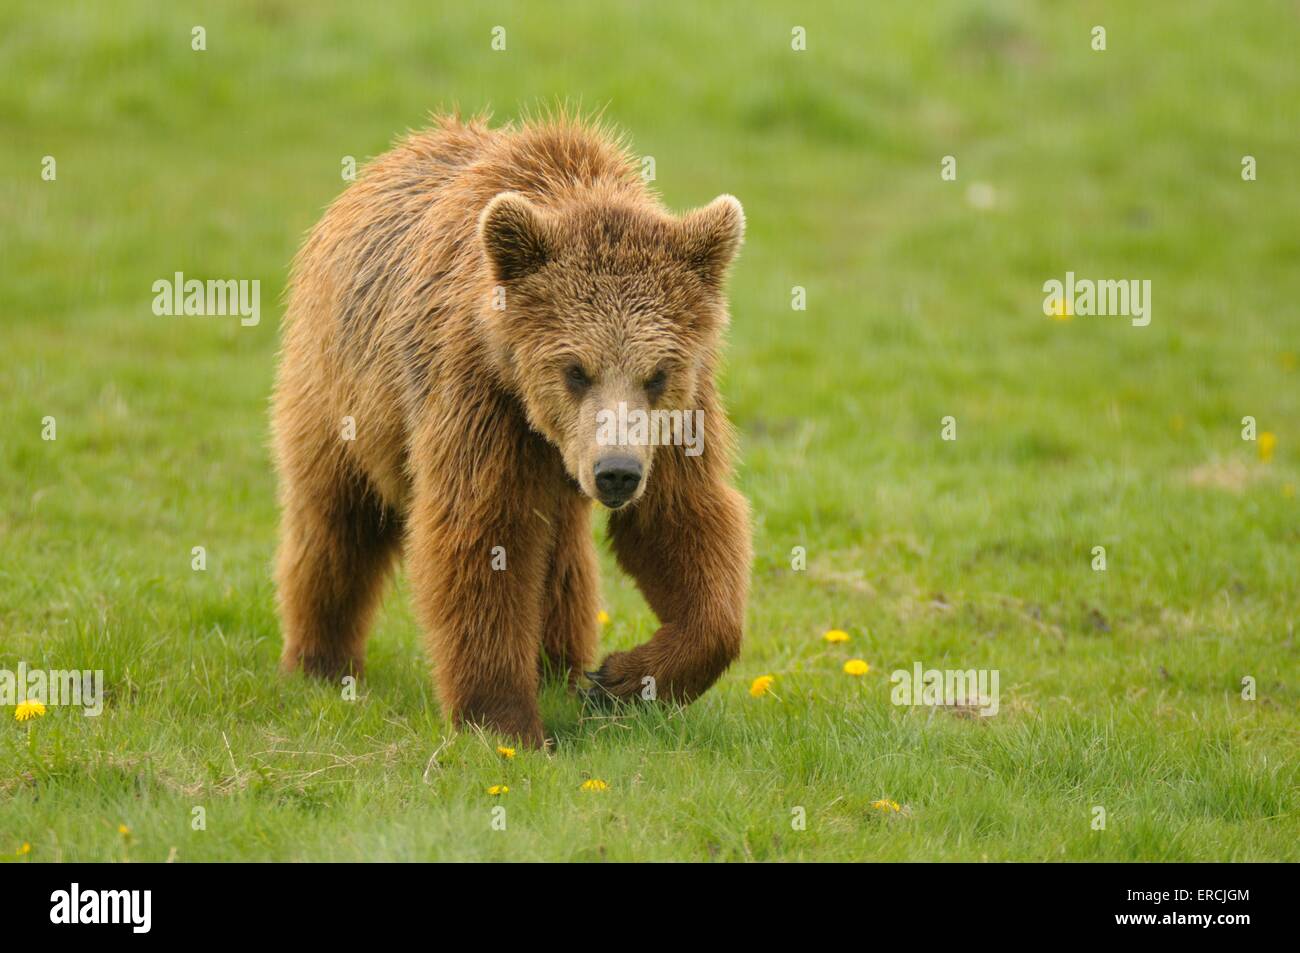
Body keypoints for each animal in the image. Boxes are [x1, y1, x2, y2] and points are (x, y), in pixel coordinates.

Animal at [272, 112, 751, 747]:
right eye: (575, 369)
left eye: (656, 374)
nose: (616, 473)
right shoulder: (480, 394)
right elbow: (483, 531)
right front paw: (505, 723)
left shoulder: (677, 423)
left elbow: (682, 521)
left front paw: (622, 679)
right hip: (342, 388)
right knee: (336, 518)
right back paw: (321, 660)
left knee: (562, 557)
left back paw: (561, 666)